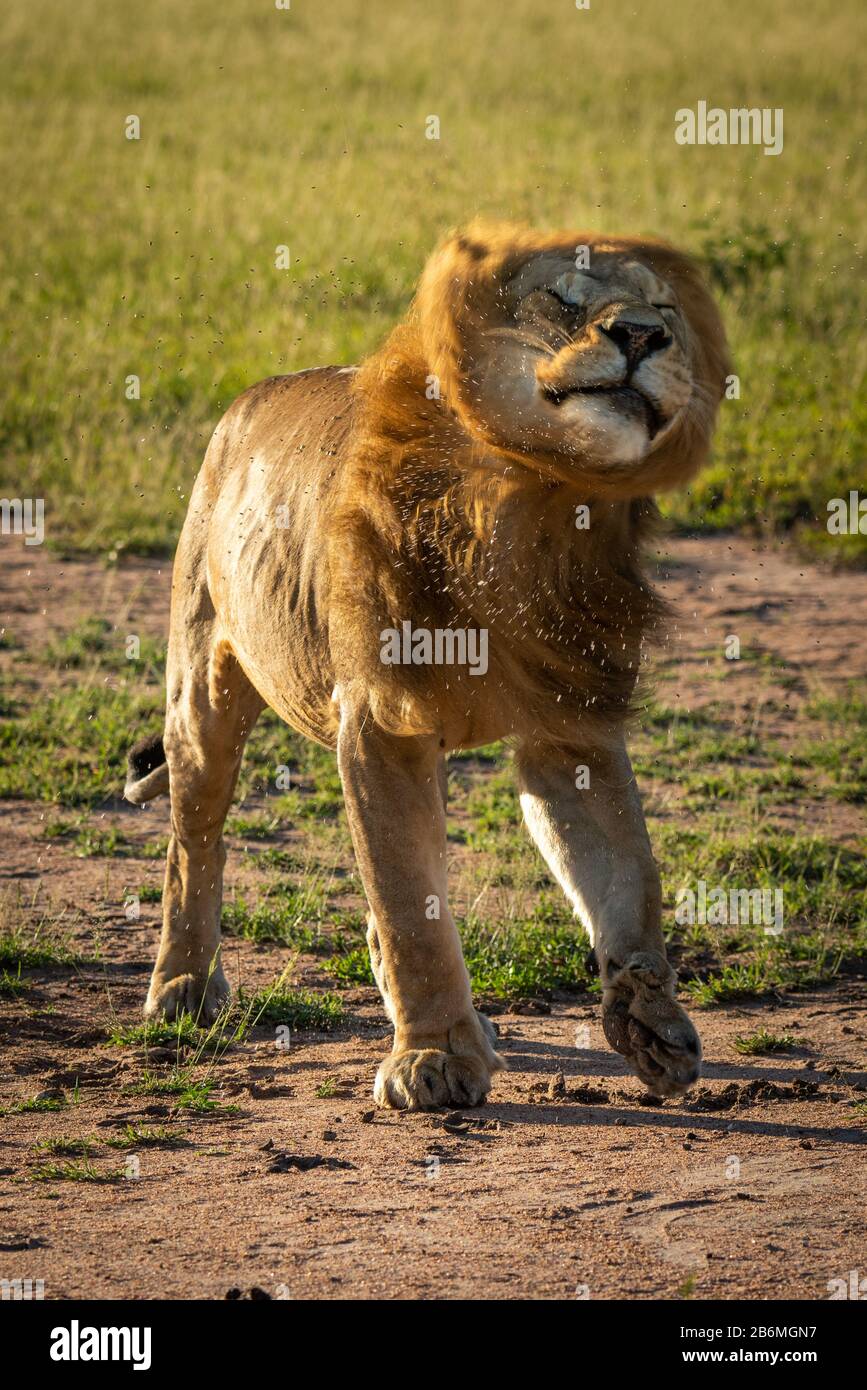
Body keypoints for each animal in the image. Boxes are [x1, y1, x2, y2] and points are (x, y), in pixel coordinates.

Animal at [125, 221, 729, 1110]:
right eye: (563, 298)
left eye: (666, 312)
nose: (641, 336)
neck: (530, 507)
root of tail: (245, 401)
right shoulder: (381, 725)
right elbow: (412, 904)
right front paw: (434, 1059)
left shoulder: (570, 730)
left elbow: (629, 877)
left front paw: (653, 1023)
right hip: (203, 687)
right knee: (193, 842)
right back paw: (184, 991)